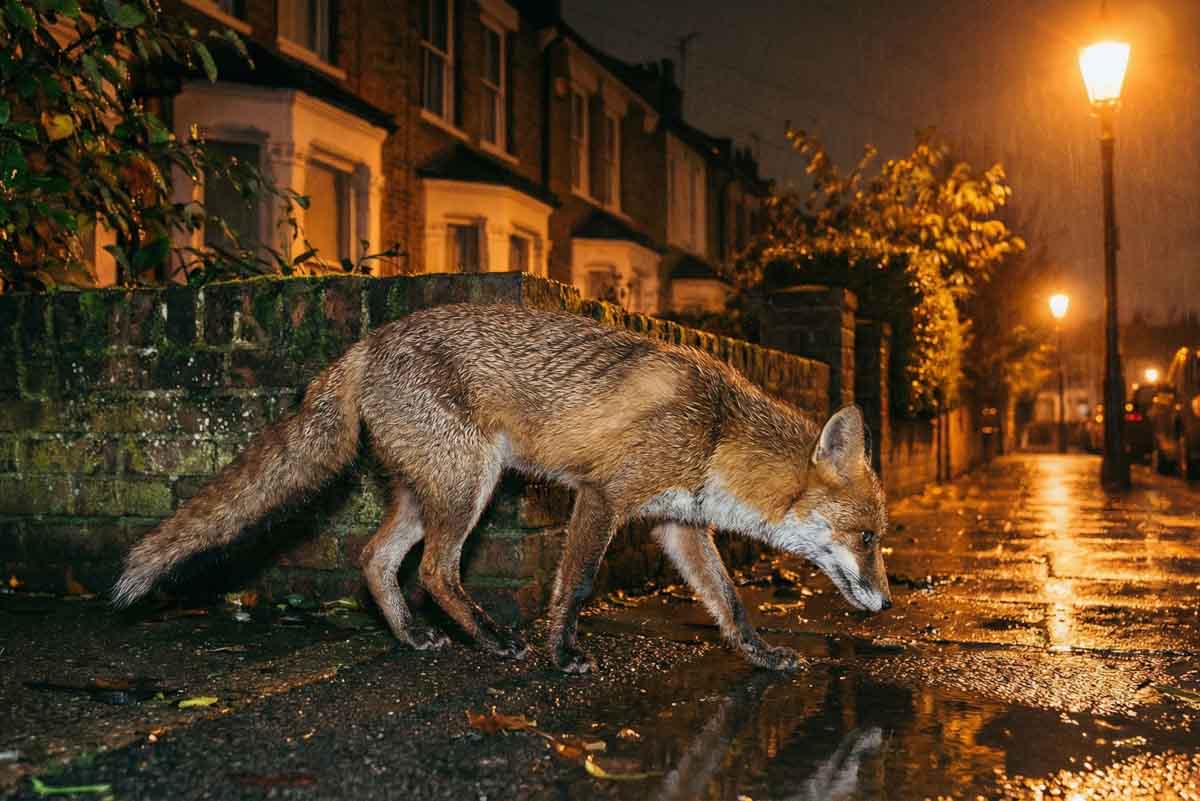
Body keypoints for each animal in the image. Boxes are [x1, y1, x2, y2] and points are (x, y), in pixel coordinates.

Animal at [113, 303, 891, 673]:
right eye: (868, 536)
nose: (885, 604)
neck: (716, 430)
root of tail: (366, 343)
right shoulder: (603, 497)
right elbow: (575, 585)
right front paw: (561, 655)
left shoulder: (678, 523)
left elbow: (730, 603)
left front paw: (761, 656)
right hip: (470, 485)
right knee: (435, 570)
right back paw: (492, 639)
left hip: (429, 492)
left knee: (374, 557)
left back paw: (412, 637)